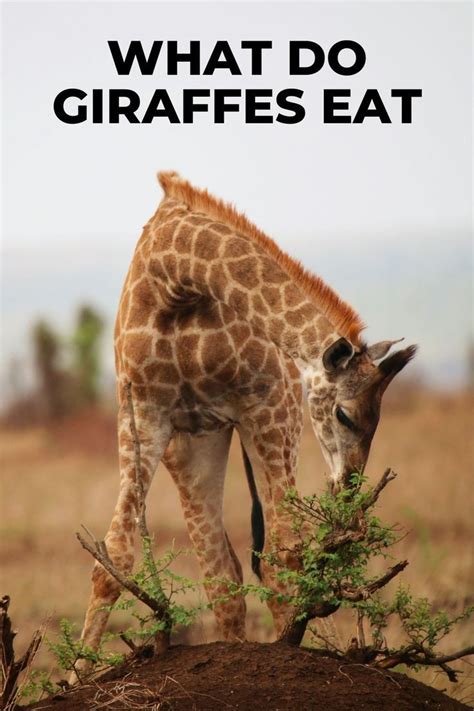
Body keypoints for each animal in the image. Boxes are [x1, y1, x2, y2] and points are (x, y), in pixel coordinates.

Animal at [75, 171, 416, 674]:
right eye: (345, 414)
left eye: (377, 421)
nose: (348, 490)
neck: (175, 279)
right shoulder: (142, 414)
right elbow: (113, 557)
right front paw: (75, 675)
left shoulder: (265, 405)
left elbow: (284, 556)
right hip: (193, 447)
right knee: (222, 573)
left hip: (270, 429)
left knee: (267, 562)